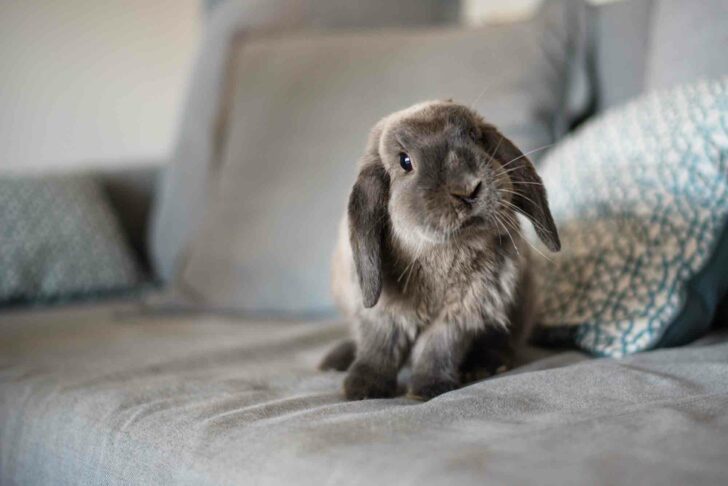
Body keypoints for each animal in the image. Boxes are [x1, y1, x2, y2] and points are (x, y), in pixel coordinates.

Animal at [319, 100, 561, 401]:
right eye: (405, 161)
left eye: (475, 136)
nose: (467, 188)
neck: (442, 251)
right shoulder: (382, 312)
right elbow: (379, 346)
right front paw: (362, 389)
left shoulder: (461, 313)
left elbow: (437, 348)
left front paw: (428, 389)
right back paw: (335, 360)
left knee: (503, 342)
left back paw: (484, 366)